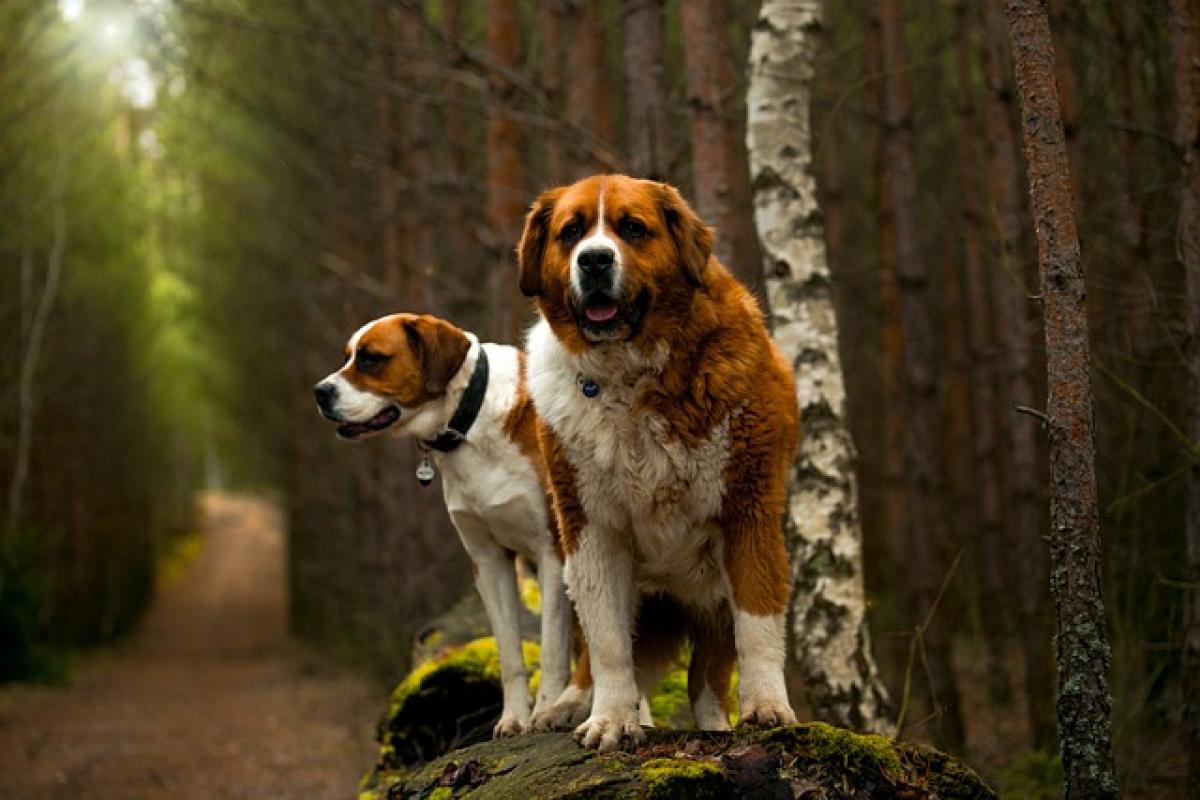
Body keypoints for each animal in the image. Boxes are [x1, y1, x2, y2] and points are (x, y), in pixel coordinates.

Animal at [312, 314, 588, 738]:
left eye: (372, 359)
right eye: (347, 357)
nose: (319, 393)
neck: (468, 423)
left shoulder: (552, 553)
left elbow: (552, 651)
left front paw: (543, 712)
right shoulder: (489, 562)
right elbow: (509, 653)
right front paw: (513, 718)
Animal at [513, 173, 796, 753]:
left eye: (632, 229)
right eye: (571, 232)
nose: (594, 260)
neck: (629, 374)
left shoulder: (749, 509)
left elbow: (757, 621)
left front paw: (767, 708)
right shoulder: (590, 526)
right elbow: (607, 641)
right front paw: (611, 720)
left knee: (706, 678)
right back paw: (567, 705)